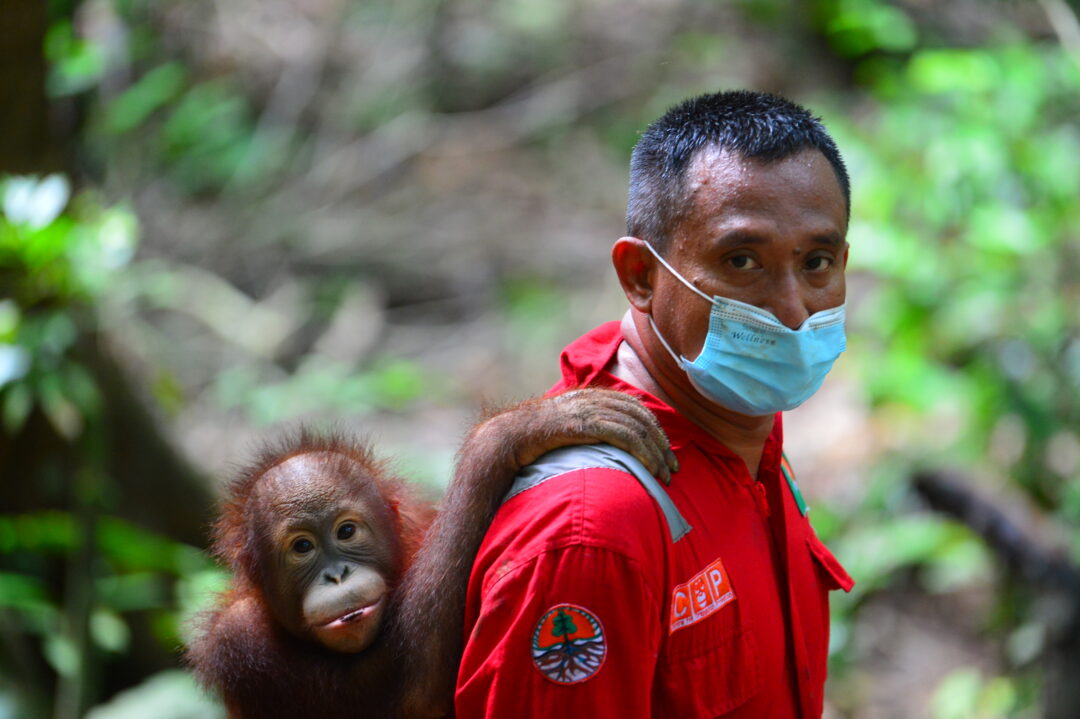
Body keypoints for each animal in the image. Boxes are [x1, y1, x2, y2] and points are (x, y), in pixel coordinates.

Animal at [185, 388, 677, 718]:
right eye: (302, 547)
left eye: (346, 531)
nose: (337, 575)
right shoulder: (238, 644)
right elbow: (413, 692)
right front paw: (516, 428)